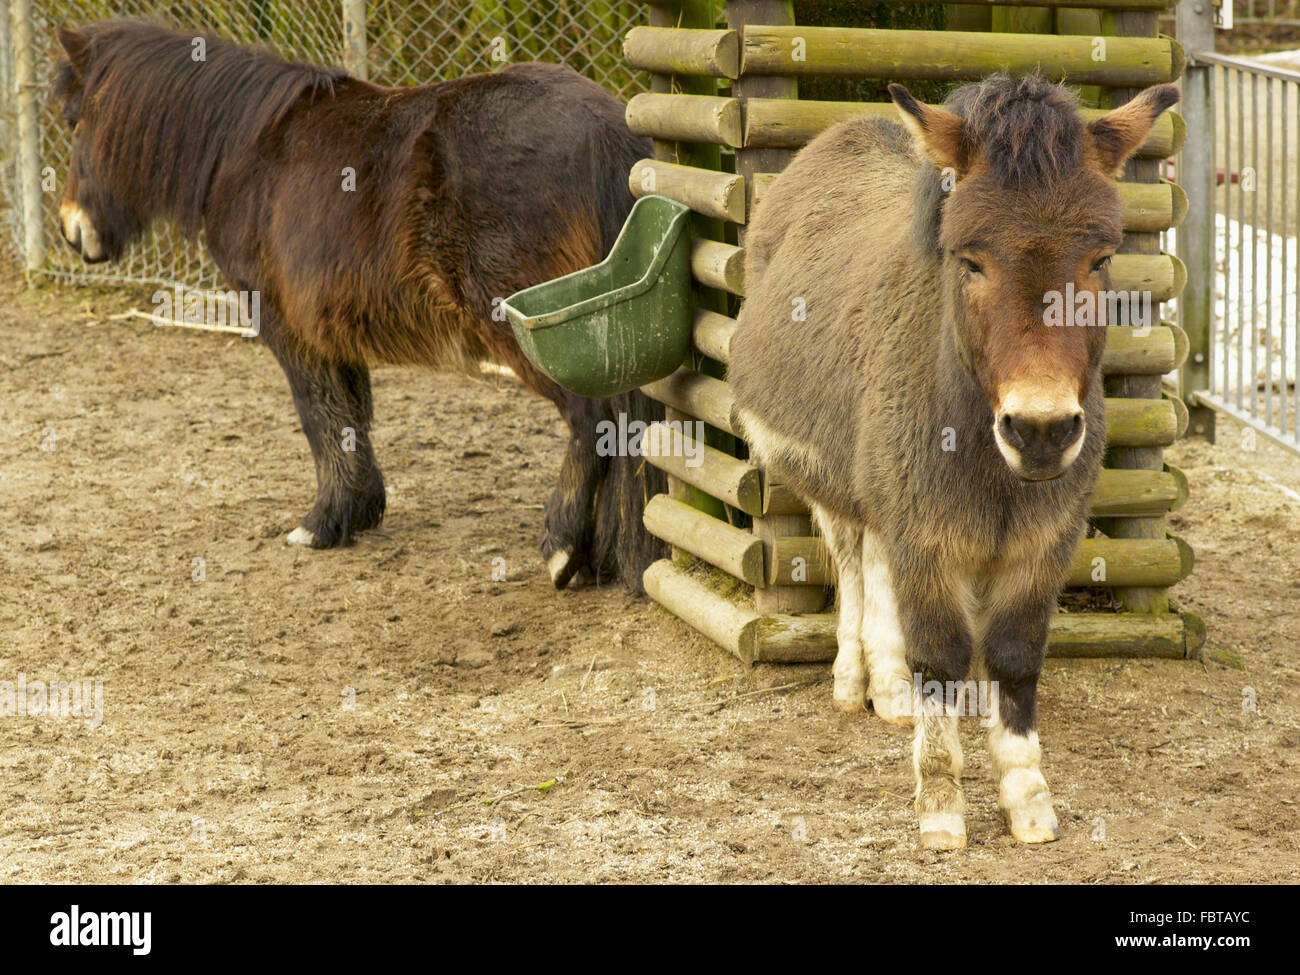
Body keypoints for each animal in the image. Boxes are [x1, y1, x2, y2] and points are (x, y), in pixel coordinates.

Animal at [51, 19, 664, 592]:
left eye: (75, 121)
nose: (71, 230)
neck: (243, 147)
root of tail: (606, 129)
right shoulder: (333, 329)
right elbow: (349, 416)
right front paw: (358, 513)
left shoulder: (287, 327)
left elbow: (318, 416)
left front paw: (320, 524)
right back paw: (604, 557)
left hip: (534, 326)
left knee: (591, 418)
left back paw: (563, 548)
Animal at [728, 75, 1179, 849]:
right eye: (970, 261)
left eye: (1099, 260)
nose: (1040, 429)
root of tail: (843, 134)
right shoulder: (925, 536)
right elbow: (939, 657)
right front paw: (940, 802)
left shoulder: (1043, 541)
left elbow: (1015, 657)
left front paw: (1027, 795)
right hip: (829, 479)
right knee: (853, 561)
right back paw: (854, 680)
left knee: (875, 562)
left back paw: (888, 689)